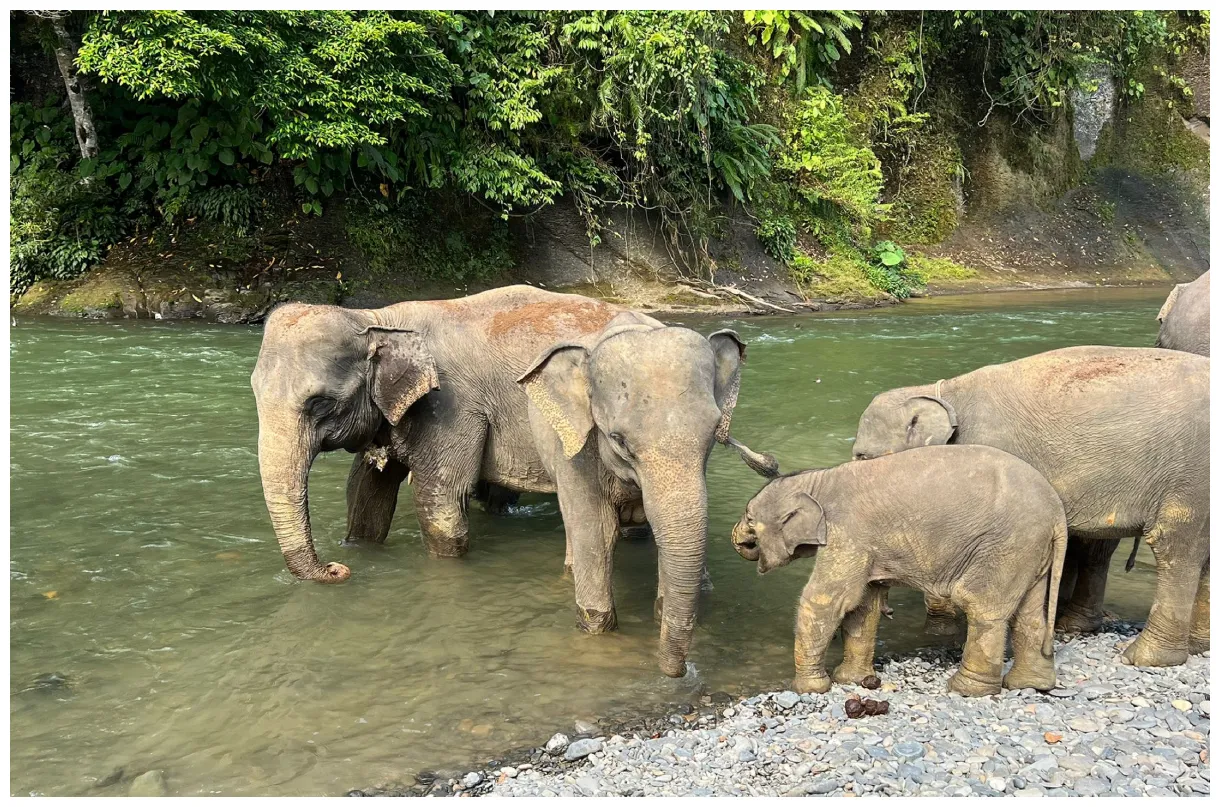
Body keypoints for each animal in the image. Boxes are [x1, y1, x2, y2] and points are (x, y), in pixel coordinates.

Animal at [250, 285, 777, 677]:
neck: (378, 317)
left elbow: (442, 509)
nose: (336, 570)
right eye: (252, 392)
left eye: (319, 403)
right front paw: (360, 550)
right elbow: (366, 497)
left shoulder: (452, 409)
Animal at [730, 445, 1066, 697]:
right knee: (1029, 613)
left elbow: (827, 600)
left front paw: (810, 688)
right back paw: (1031, 685)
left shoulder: (848, 533)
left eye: (749, 517)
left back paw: (965, 689)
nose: (742, 537)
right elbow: (864, 606)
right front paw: (850, 680)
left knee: (982, 606)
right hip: (1030, 551)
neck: (819, 478)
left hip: (1005, 545)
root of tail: (1056, 512)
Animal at [851, 345, 1210, 668]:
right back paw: (1193, 646)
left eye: (862, 456)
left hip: (1190, 473)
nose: (890, 611)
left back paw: (1144, 657)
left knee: (1176, 546)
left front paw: (941, 630)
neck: (942, 390)